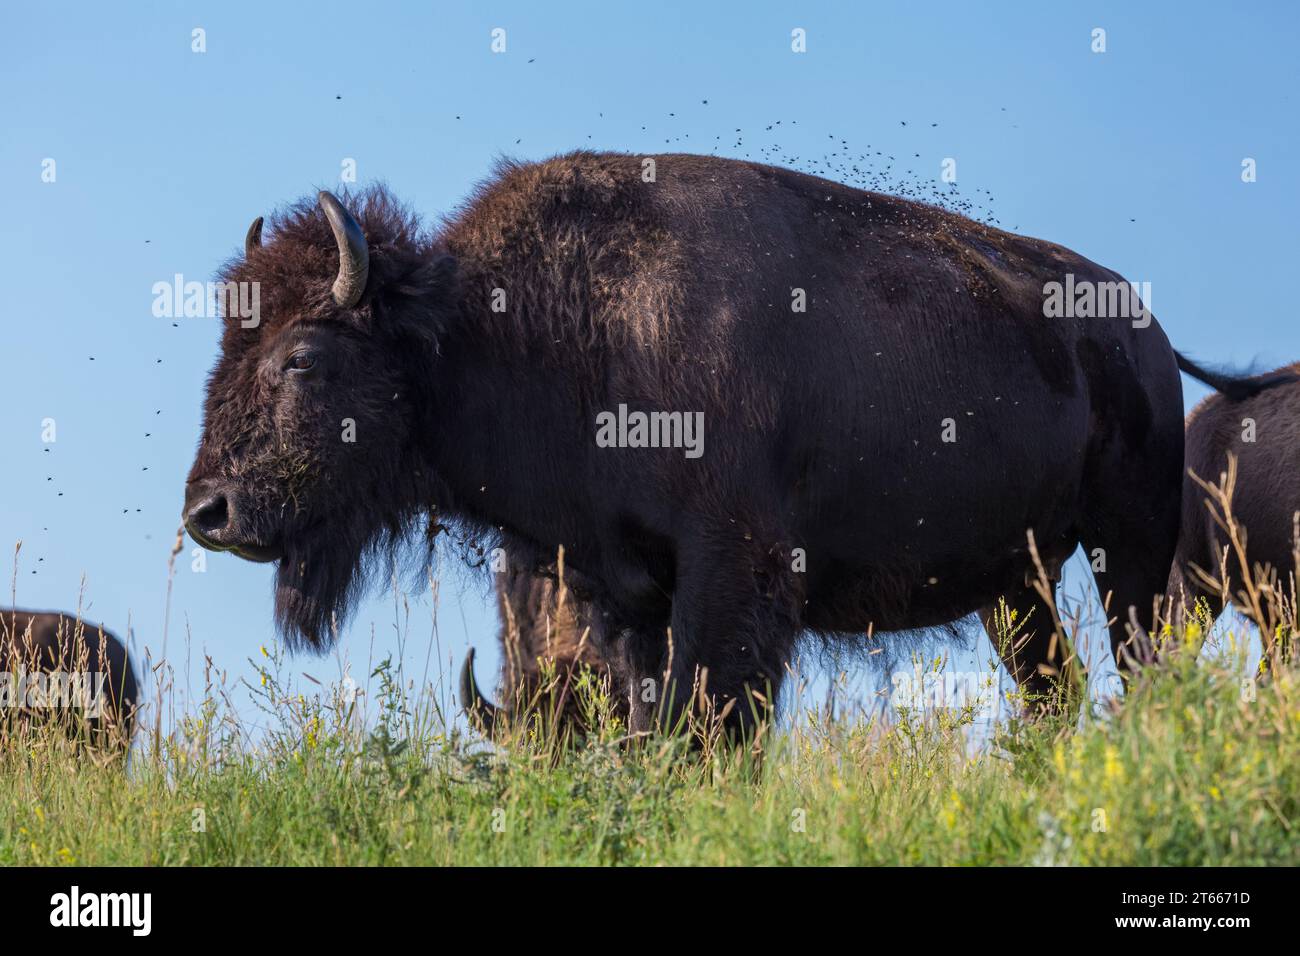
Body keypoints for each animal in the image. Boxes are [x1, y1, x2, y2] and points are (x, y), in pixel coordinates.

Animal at [184, 151, 1274, 736]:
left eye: (301, 358)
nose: (208, 511)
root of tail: (1141, 331)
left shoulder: (733, 574)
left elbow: (706, 719)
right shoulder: (623, 590)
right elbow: (643, 718)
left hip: (1129, 550)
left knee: (1142, 662)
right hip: (1019, 586)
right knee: (1057, 686)